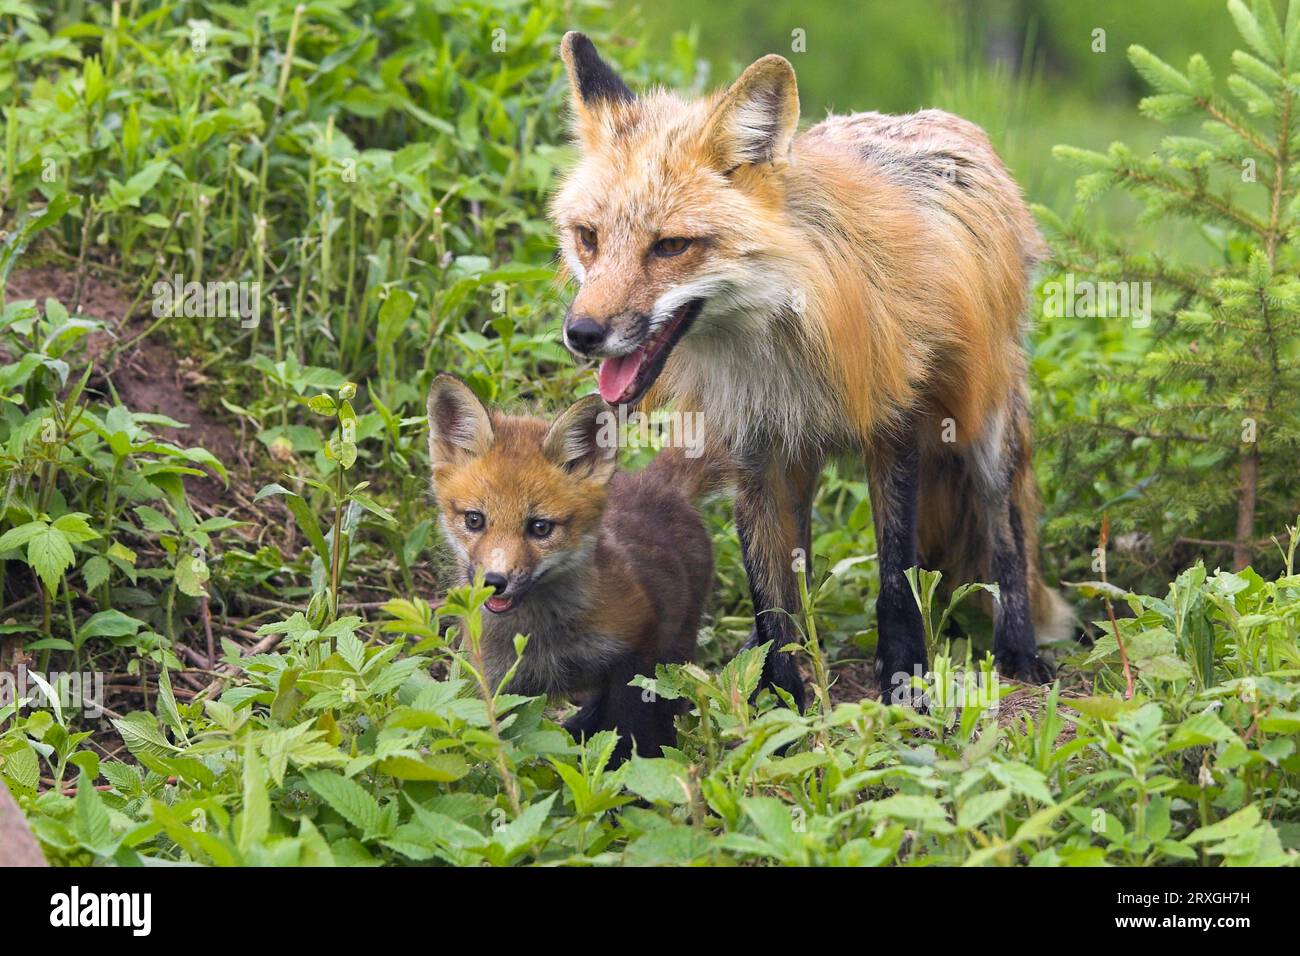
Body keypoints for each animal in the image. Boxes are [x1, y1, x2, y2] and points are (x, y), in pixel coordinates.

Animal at [426, 373, 717, 763]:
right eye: (475, 520)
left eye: (540, 527)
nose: (495, 581)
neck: (546, 639)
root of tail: (654, 481)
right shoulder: (498, 679)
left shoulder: (638, 649)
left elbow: (631, 733)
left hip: (676, 651)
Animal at [548, 33, 1075, 708]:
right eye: (588, 237)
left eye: (670, 246)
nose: (582, 334)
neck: (774, 347)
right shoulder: (751, 450)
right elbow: (768, 592)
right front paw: (781, 696)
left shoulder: (894, 420)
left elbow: (897, 577)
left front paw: (904, 678)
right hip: (799, 461)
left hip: (983, 418)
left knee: (1005, 534)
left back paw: (1018, 649)